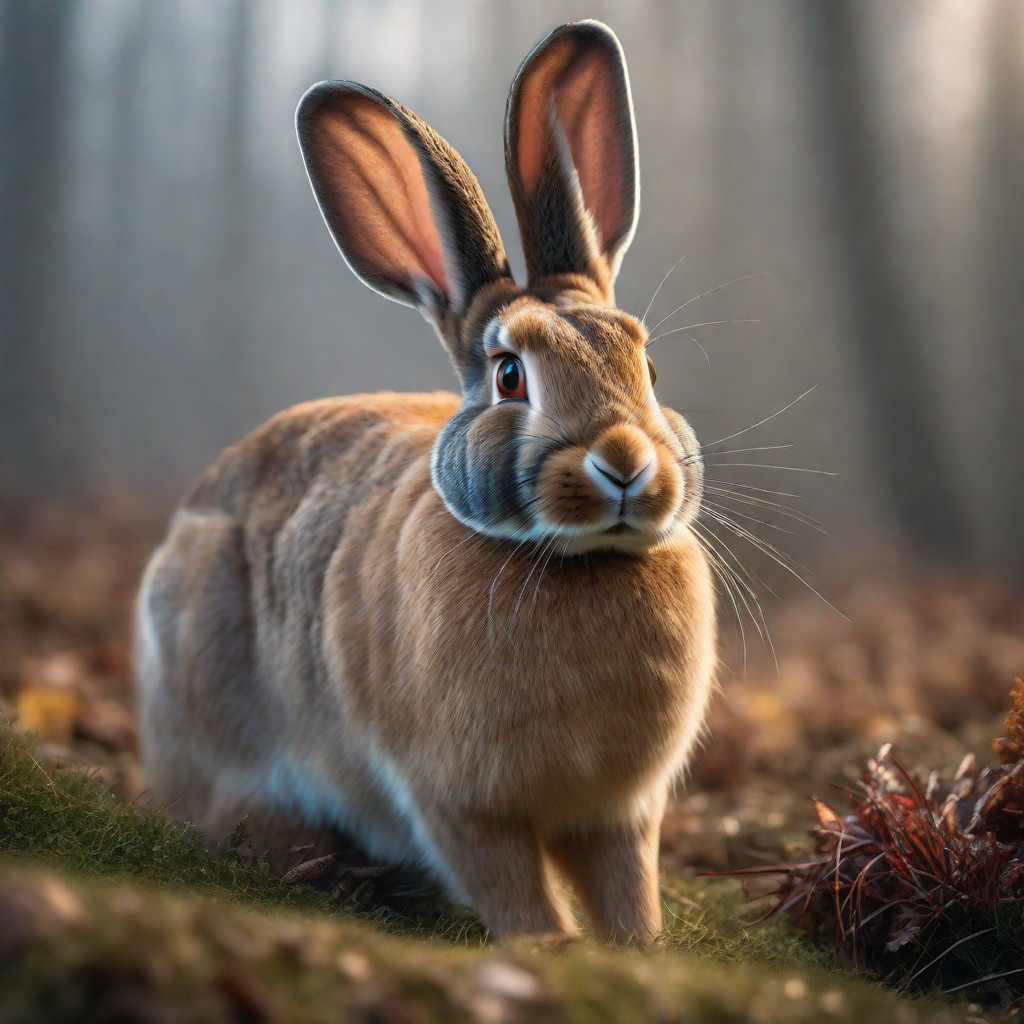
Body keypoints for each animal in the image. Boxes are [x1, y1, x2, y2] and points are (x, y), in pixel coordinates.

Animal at [135, 19, 716, 944]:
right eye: (510, 376)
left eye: (648, 368)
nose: (625, 462)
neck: (576, 560)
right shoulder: (456, 801)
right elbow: (508, 882)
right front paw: (552, 947)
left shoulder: (620, 811)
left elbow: (626, 878)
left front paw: (639, 949)